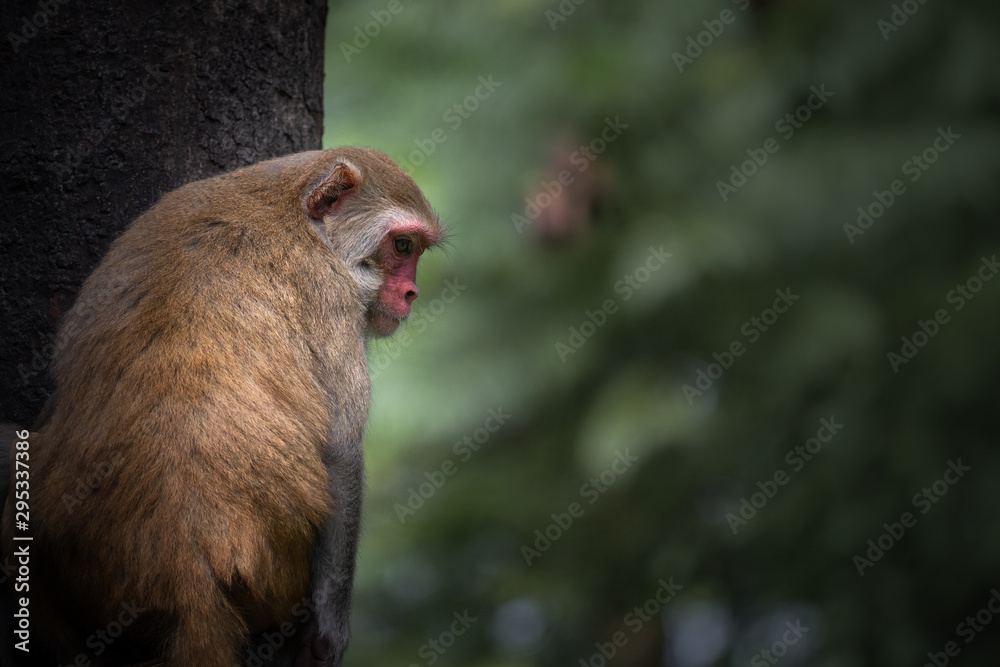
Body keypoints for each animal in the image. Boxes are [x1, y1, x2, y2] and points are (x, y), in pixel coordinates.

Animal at [0, 147, 443, 666]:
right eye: (402, 247)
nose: (411, 294)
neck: (292, 211)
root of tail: (186, 580)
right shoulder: (332, 296)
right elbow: (341, 451)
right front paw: (330, 632)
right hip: (275, 579)